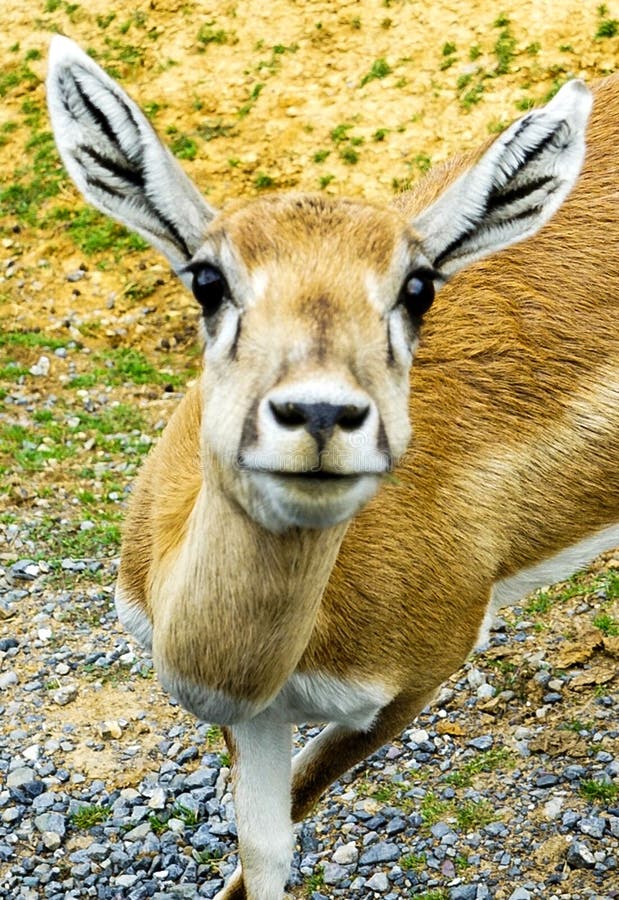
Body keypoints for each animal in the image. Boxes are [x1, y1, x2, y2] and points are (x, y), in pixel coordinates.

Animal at [47, 34, 619, 900]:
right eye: (207, 279)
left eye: (417, 286)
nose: (320, 416)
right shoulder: (252, 714)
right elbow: (262, 849)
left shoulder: (416, 680)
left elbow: (295, 808)